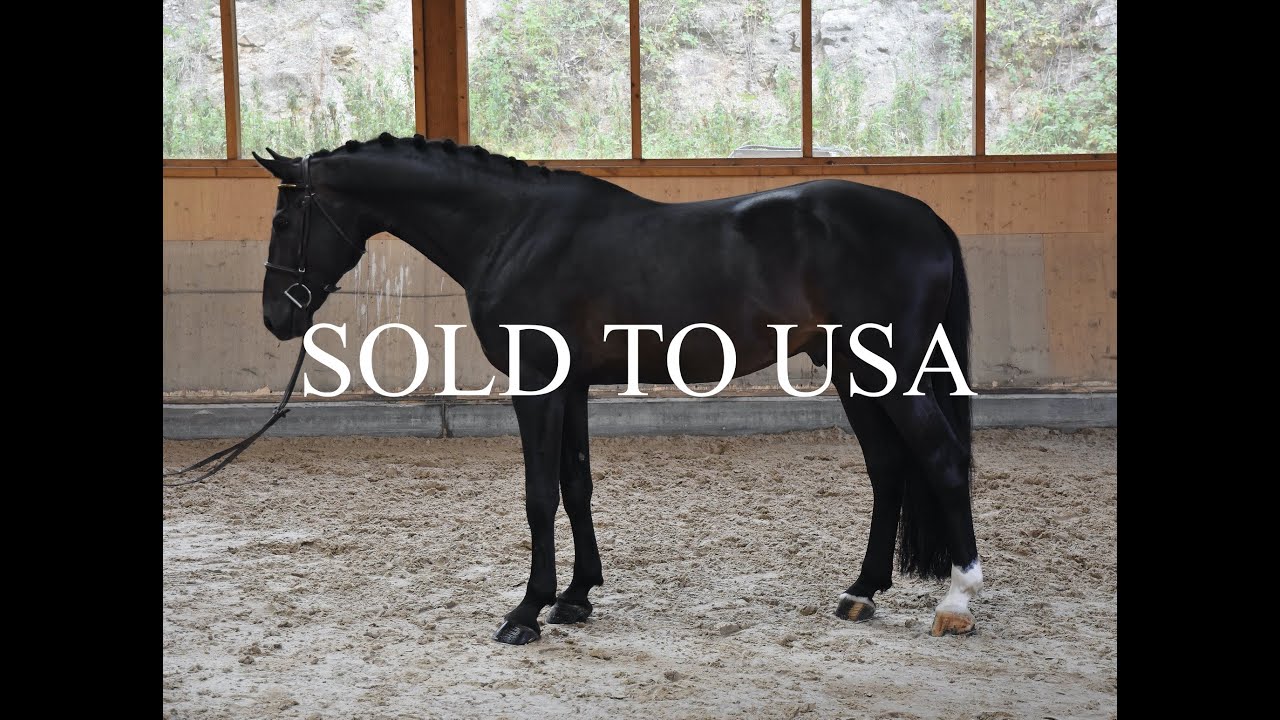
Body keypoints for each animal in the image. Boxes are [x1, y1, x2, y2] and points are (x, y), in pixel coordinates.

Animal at [252, 133, 983, 645]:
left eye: (284, 223)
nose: (277, 317)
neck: (514, 231)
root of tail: (929, 220)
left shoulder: (538, 383)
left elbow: (539, 494)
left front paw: (527, 610)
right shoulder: (569, 384)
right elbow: (576, 485)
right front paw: (576, 597)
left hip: (893, 371)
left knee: (943, 460)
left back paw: (956, 602)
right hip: (853, 370)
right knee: (888, 467)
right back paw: (862, 591)